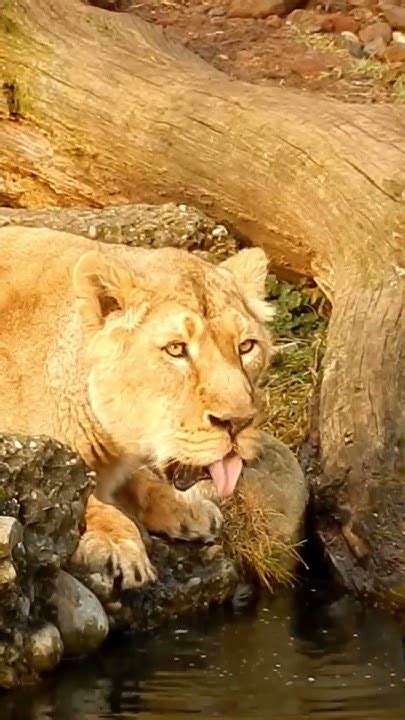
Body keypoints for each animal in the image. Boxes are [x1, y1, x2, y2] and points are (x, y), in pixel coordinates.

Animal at [0, 226, 274, 592]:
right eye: (176, 349)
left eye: (246, 346)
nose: (238, 422)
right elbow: (78, 497)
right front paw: (117, 544)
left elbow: (143, 480)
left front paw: (186, 507)